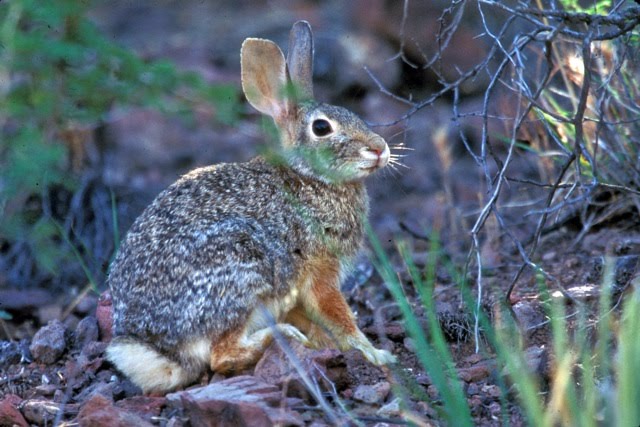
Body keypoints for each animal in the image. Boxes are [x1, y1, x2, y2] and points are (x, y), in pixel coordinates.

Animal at [105, 20, 396, 394]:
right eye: (322, 127)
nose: (380, 148)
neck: (310, 177)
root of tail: (158, 348)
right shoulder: (320, 272)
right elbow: (338, 314)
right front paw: (373, 353)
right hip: (243, 268)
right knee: (222, 355)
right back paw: (281, 336)